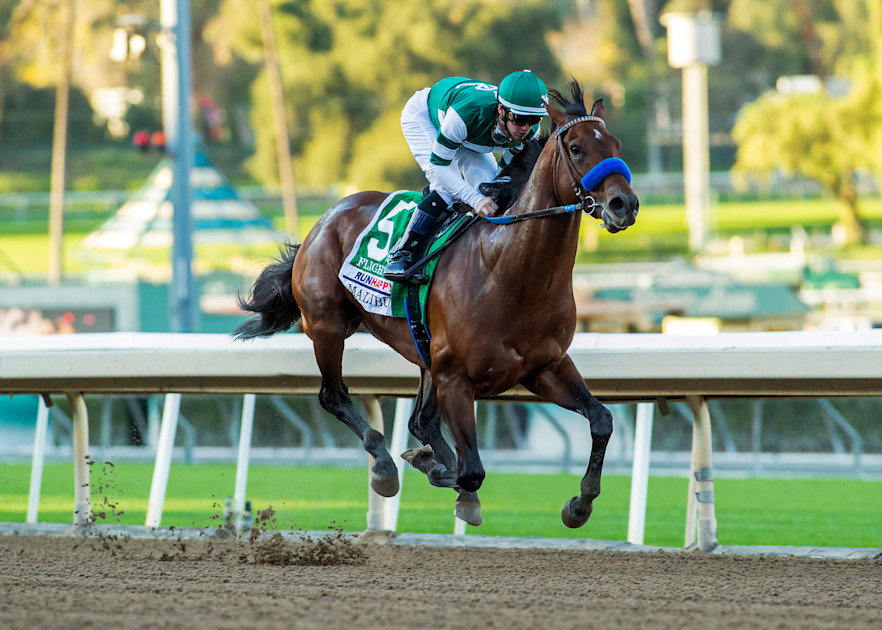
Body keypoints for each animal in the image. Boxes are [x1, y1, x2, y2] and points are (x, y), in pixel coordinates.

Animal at [233, 80, 639, 528]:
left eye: (616, 144)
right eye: (578, 148)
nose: (624, 204)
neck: (509, 273)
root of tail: (323, 220)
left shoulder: (545, 367)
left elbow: (601, 420)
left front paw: (580, 504)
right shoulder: (457, 379)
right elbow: (472, 470)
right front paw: (439, 474)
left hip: (423, 350)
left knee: (421, 422)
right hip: (328, 327)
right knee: (334, 396)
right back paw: (384, 466)